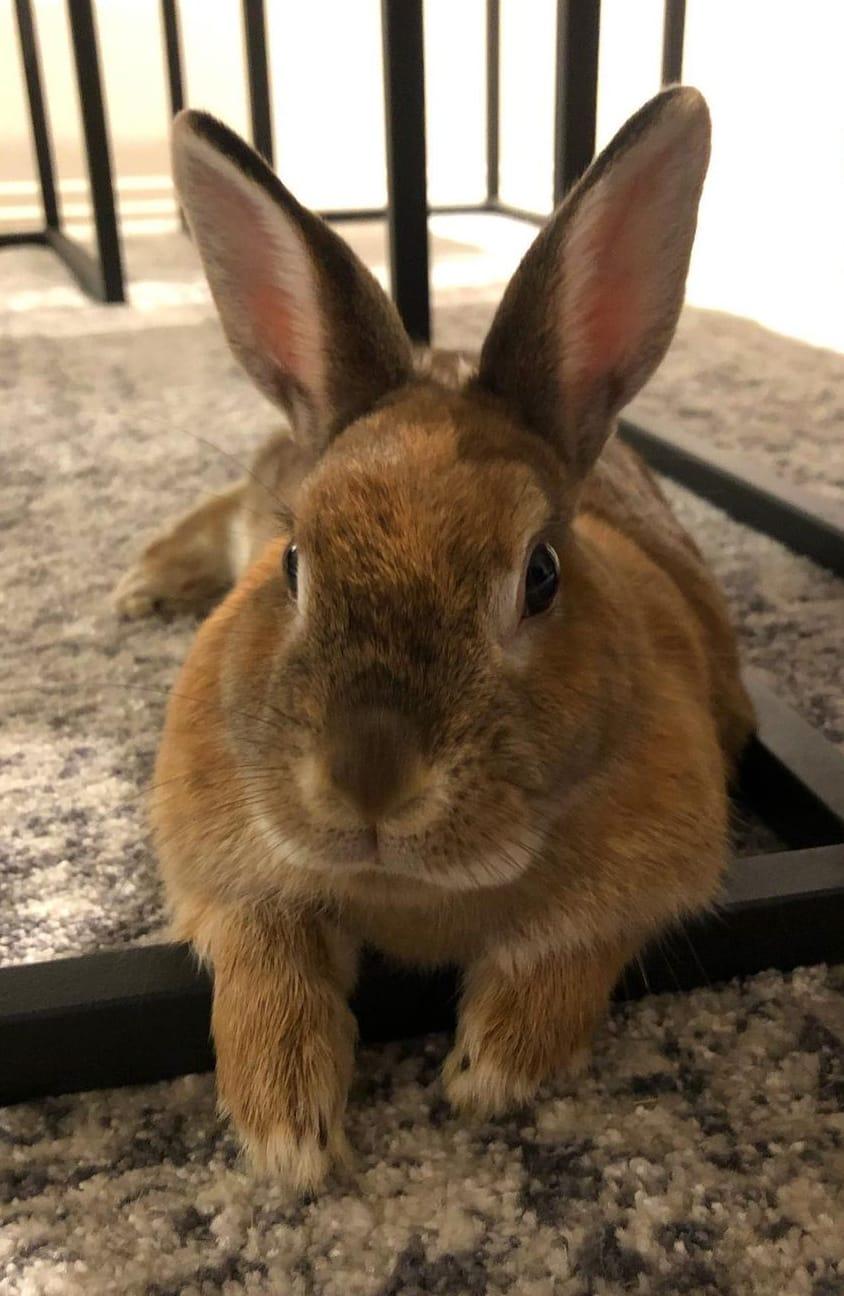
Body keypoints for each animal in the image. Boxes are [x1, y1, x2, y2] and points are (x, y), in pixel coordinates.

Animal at [125, 87, 755, 1191]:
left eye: (540, 575)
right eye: (295, 562)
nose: (369, 778)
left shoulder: (655, 861)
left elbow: (562, 947)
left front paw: (492, 1068)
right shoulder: (216, 857)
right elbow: (259, 953)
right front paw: (286, 1128)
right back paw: (143, 587)